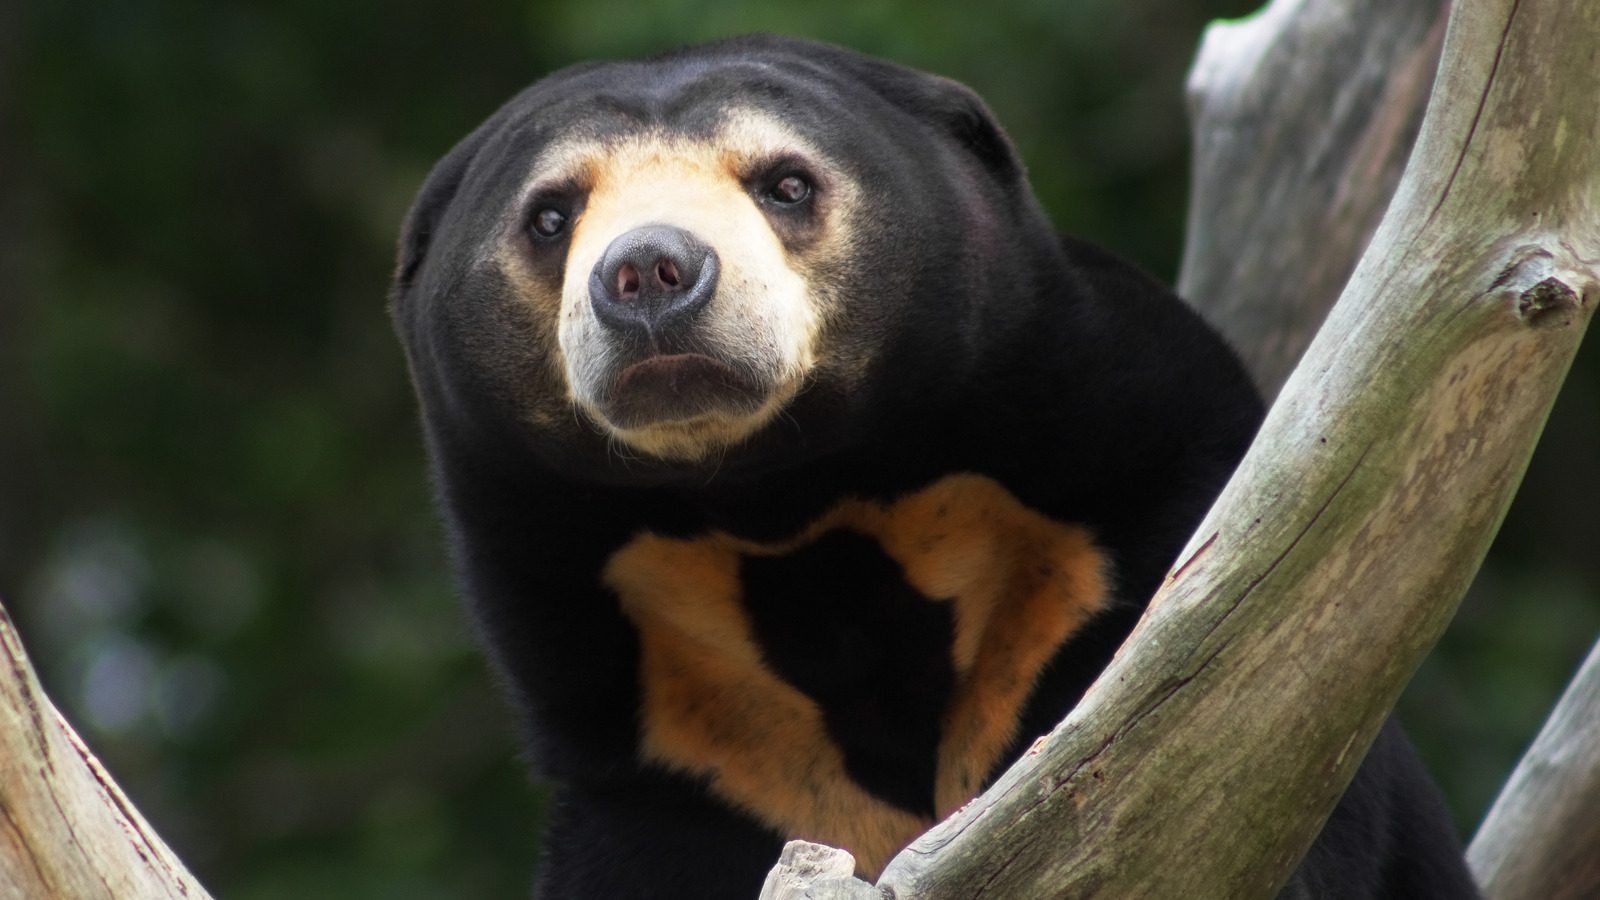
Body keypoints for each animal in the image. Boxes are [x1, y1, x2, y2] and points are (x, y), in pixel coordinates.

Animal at [389, 33, 1480, 900]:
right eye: (550, 214)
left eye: (785, 183)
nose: (651, 271)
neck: (785, 499)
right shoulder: (672, 745)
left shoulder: (1136, 496)